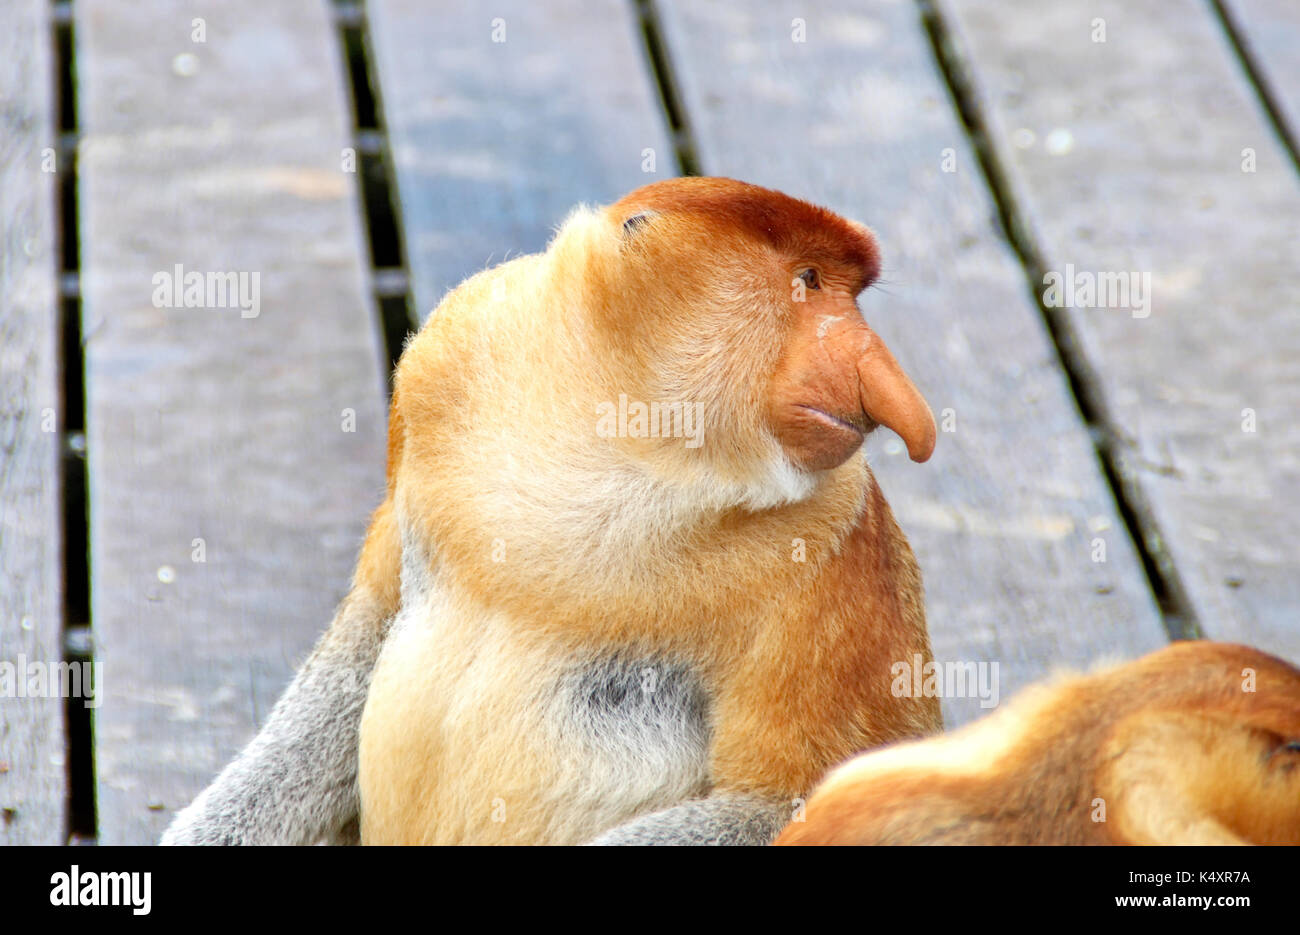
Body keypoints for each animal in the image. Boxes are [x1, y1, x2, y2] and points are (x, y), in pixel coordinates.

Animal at [162, 176, 939, 846]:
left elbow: (797, 800)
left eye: (848, 292)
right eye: (808, 281)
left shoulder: (839, 546)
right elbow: (374, 614)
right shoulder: (444, 357)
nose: (872, 364)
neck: (621, 448)